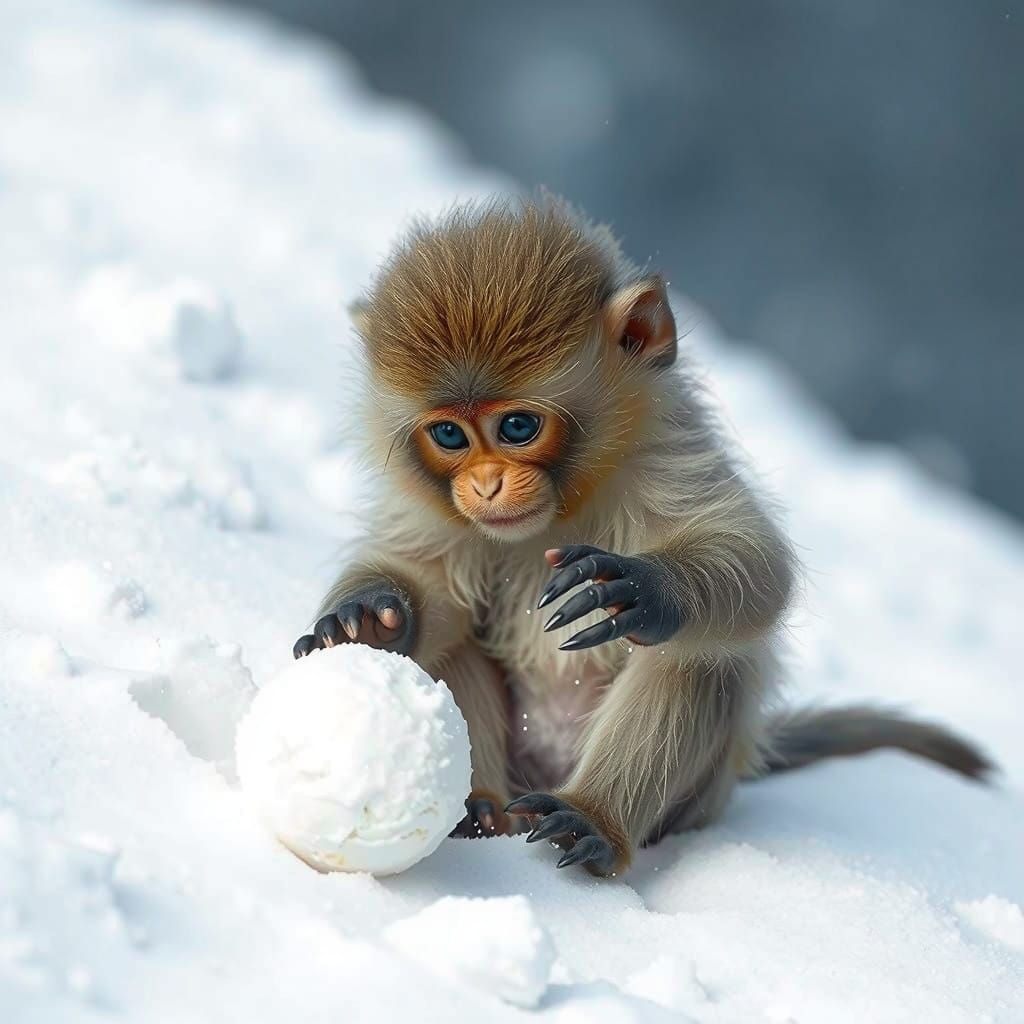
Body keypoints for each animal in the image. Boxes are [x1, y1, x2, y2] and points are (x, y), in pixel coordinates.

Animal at [294, 196, 992, 878]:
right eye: (449, 436)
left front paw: (649, 588)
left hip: (695, 801)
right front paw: (369, 617)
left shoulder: (666, 458)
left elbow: (755, 561)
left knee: (698, 661)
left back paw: (591, 820)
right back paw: (482, 812)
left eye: (517, 426)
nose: (487, 486)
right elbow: (432, 591)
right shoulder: (440, 514)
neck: (567, 505)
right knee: (457, 644)